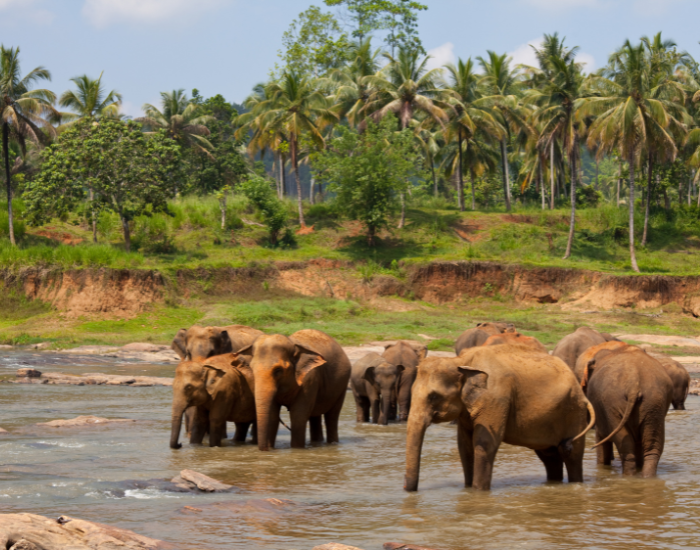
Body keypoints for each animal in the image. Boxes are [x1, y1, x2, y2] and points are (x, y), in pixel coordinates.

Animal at [404, 345, 595, 492]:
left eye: (433, 397)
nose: (409, 490)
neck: (462, 360)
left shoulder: (495, 397)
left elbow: (484, 443)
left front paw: (478, 492)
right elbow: (464, 446)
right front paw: (468, 490)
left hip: (574, 412)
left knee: (572, 455)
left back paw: (575, 483)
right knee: (550, 456)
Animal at [583, 345, 673, 476]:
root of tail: (634, 385)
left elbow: (601, 438)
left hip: (612, 405)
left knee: (625, 446)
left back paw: (628, 476)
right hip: (654, 404)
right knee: (651, 447)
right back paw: (646, 477)